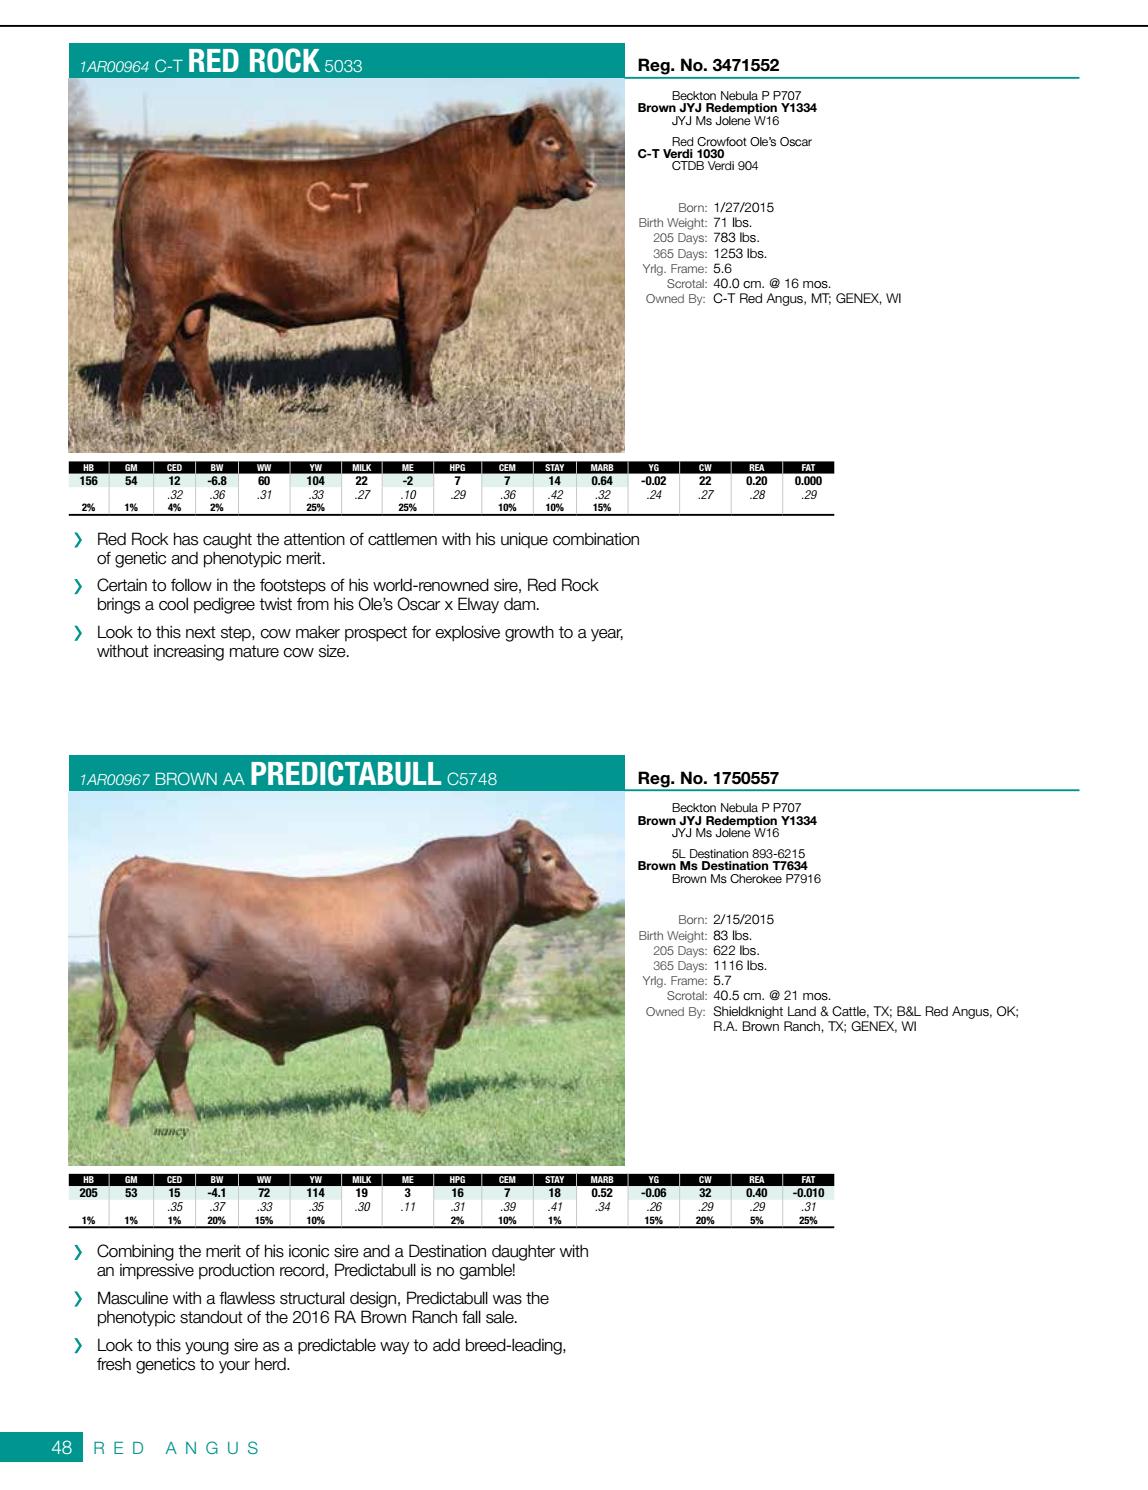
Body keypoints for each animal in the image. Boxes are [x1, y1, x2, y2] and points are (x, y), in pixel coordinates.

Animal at [96, 822, 599, 1127]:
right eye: (549, 857)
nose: (591, 895)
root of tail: (151, 863)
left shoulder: (396, 1009)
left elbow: (398, 1059)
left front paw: (397, 1108)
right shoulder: (426, 997)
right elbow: (419, 1059)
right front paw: (421, 1110)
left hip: (184, 1003)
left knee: (173, 1055)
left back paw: (189, 1119)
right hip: (155, 995)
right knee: (134, 1051)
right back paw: (119, 1125)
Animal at [110, 105, 596, 413]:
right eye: (550, 141)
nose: (589, 181)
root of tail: (159, 155)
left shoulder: (410, 295)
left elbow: (406, 347)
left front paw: (412, 398)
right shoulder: (429, 279)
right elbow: (424, 343)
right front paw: (426, 405)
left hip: (192, 299)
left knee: (188, 346)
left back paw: (216, 410)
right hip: (162, 294)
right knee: (143, 344)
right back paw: (131, 420)